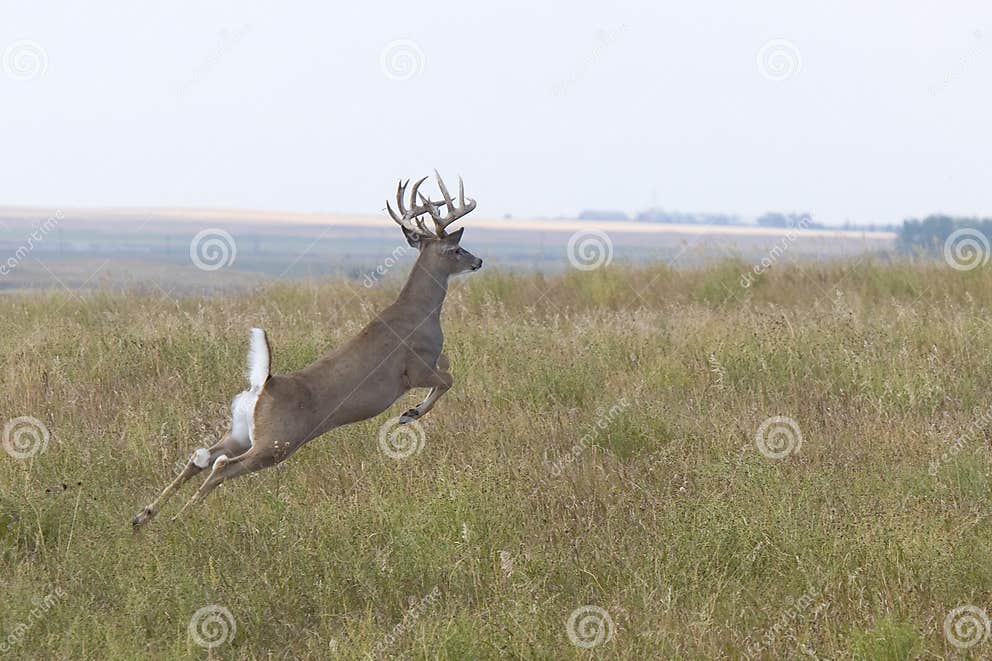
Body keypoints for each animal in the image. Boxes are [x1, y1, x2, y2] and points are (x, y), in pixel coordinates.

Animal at [132, 172, 482, 527]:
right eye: (456, 248)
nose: (478, 260)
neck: (420, 312)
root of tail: (264, 384)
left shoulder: (429, 362)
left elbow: (448, 368)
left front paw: (410, 413)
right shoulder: (415, 368)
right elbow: (448, 378)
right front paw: (410, 414)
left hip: (242, 433)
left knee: (199, 457)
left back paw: (143, 516)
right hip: (276, 443)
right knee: (220, 467)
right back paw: (177, 520)